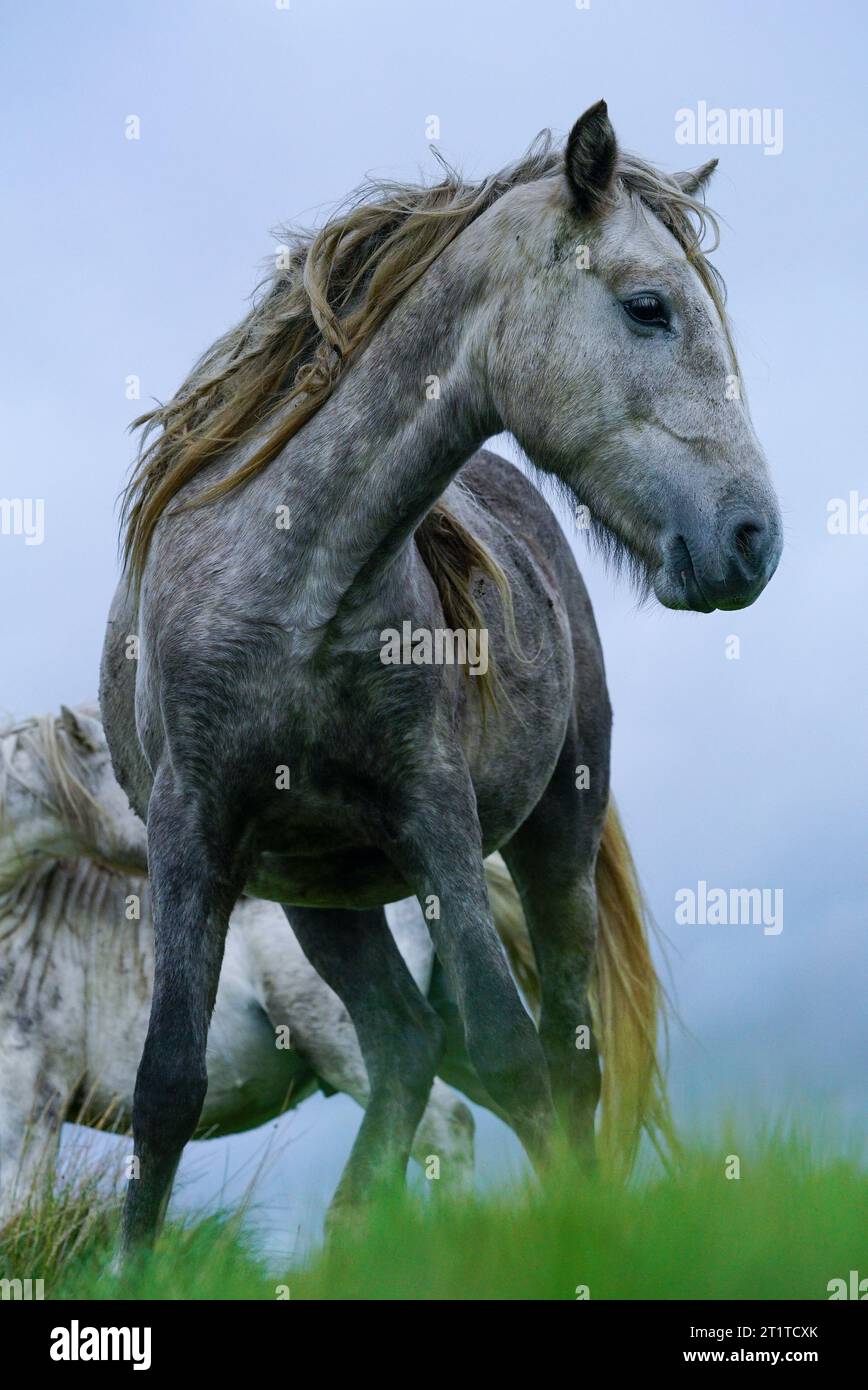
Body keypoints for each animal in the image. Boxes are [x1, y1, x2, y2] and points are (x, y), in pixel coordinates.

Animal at [100, 100, 782, 1255]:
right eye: (648, 308)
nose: (753, 539)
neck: (292, 586)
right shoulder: (196, 834)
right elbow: (166, 1089)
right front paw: (132, 1274)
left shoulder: (436, 817)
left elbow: (514, 1056)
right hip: (320, 892)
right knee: (407, 1042)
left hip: (549, 845)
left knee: (559, 1051)